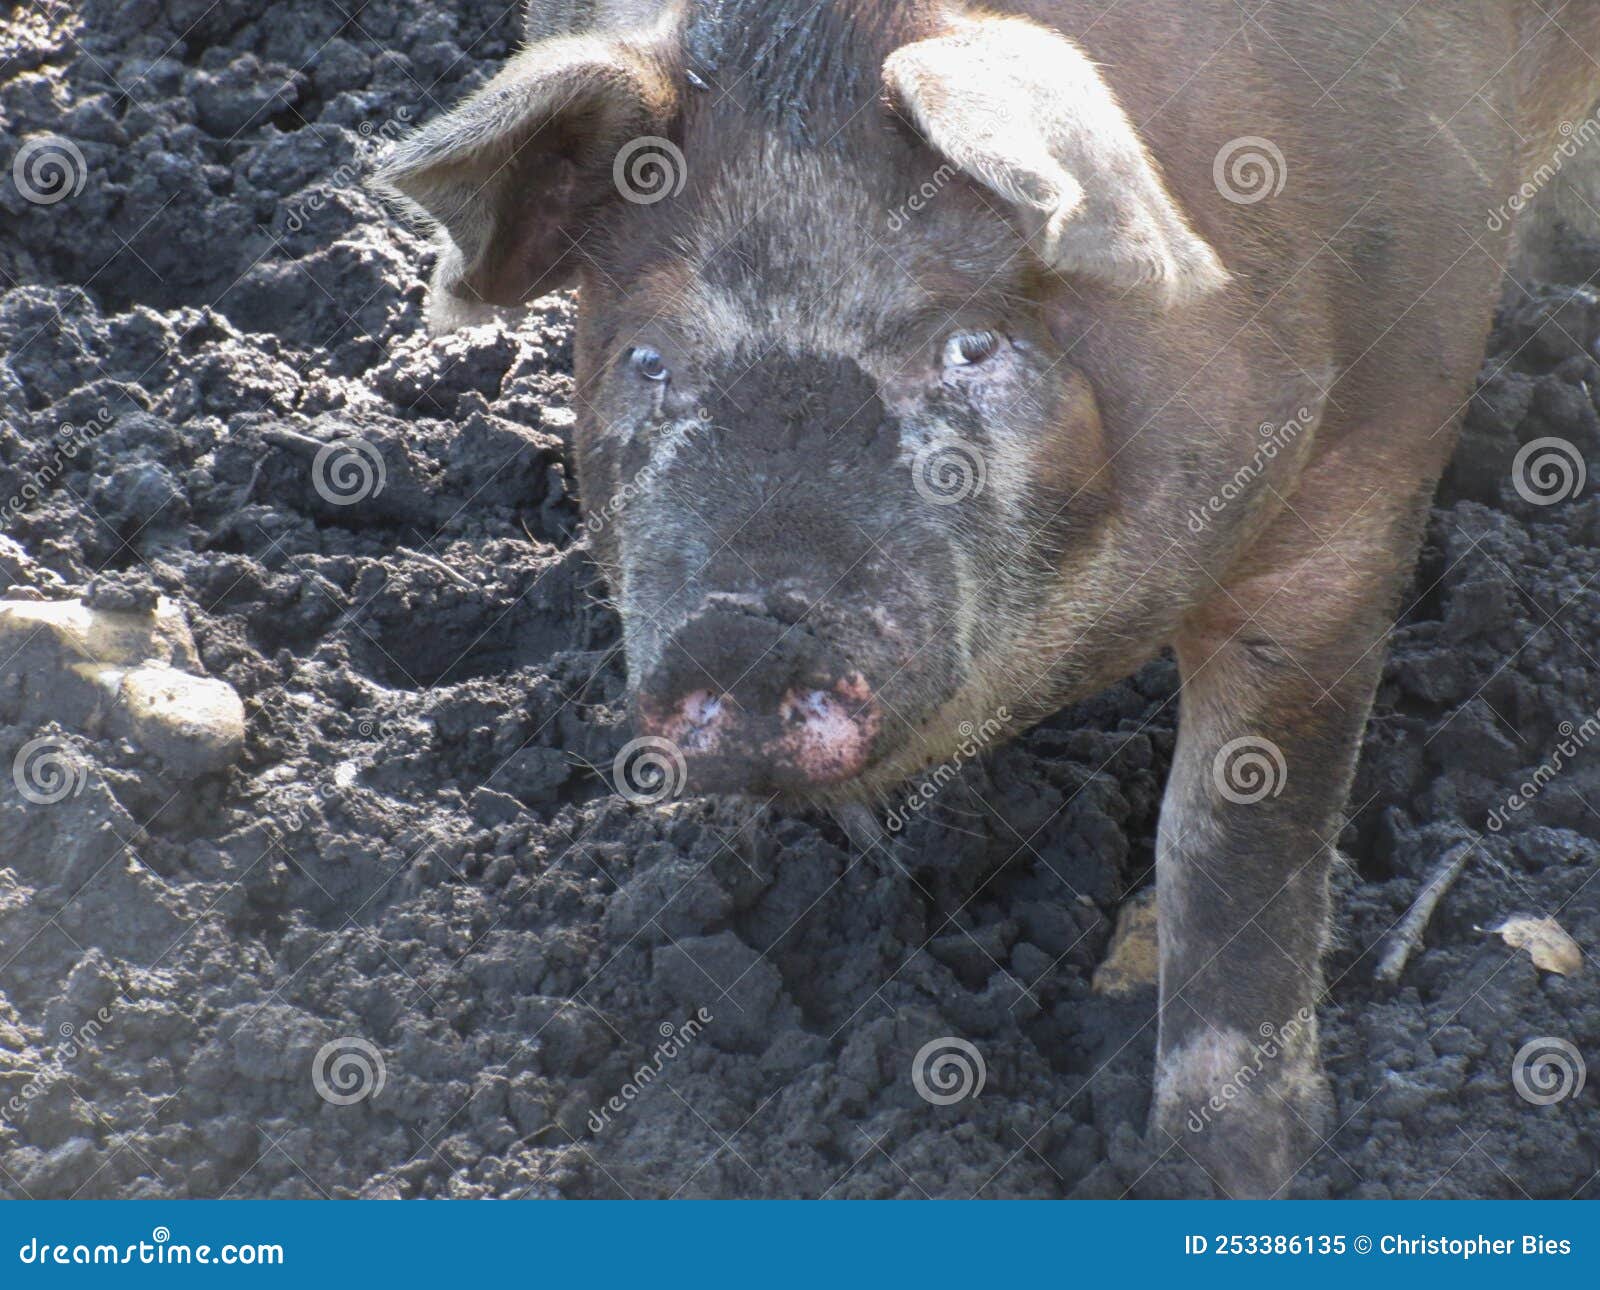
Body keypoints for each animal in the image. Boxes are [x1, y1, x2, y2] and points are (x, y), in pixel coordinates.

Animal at [377, 0, 1600, 1196]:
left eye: (970, 345)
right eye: (647, 361)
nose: (742, 634)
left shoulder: (1381, 440)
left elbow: (1241, 821)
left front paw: (1233, 1169)